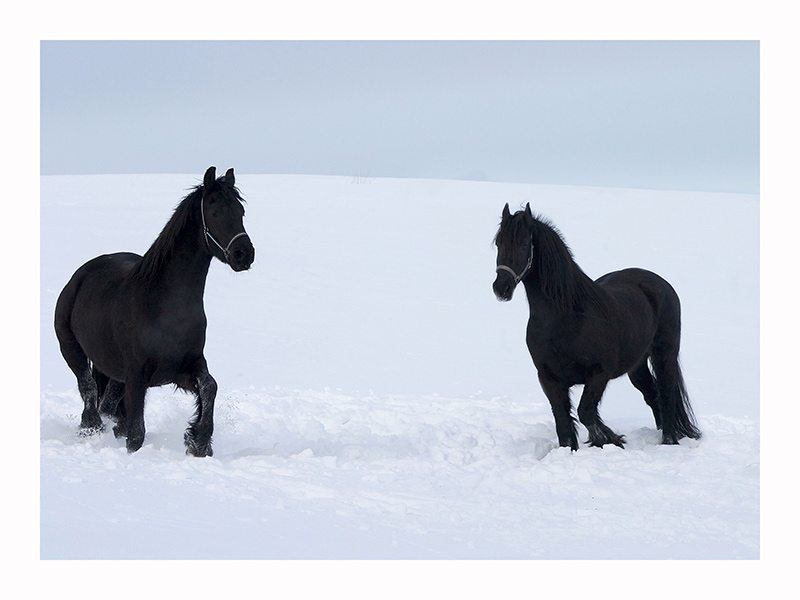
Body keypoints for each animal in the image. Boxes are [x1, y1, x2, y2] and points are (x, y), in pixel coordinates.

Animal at [54, 167, 255, 456]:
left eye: (240, 212)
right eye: (215, 211)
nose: (244, 254)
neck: (164, 308)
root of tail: (80, 275)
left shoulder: (185, 367)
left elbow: (210, 387)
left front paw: (198, 441)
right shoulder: (137, 376)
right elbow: (137, 433)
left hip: (115, 373)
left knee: (108, 404)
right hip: (71, 349)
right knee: (89, 389)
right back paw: (91, 427)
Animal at [492, 203, 701, 451]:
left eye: (524, 244)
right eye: (498, 243)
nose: (501, 288)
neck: (566, 319)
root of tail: (659, 283)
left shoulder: (599, 373)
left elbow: (586, 412)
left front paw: (610, 438)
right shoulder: (549, 378)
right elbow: (563, 422)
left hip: (664, 353)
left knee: (667, 394)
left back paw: (668, 441)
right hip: (637, 365)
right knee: (653, 395)